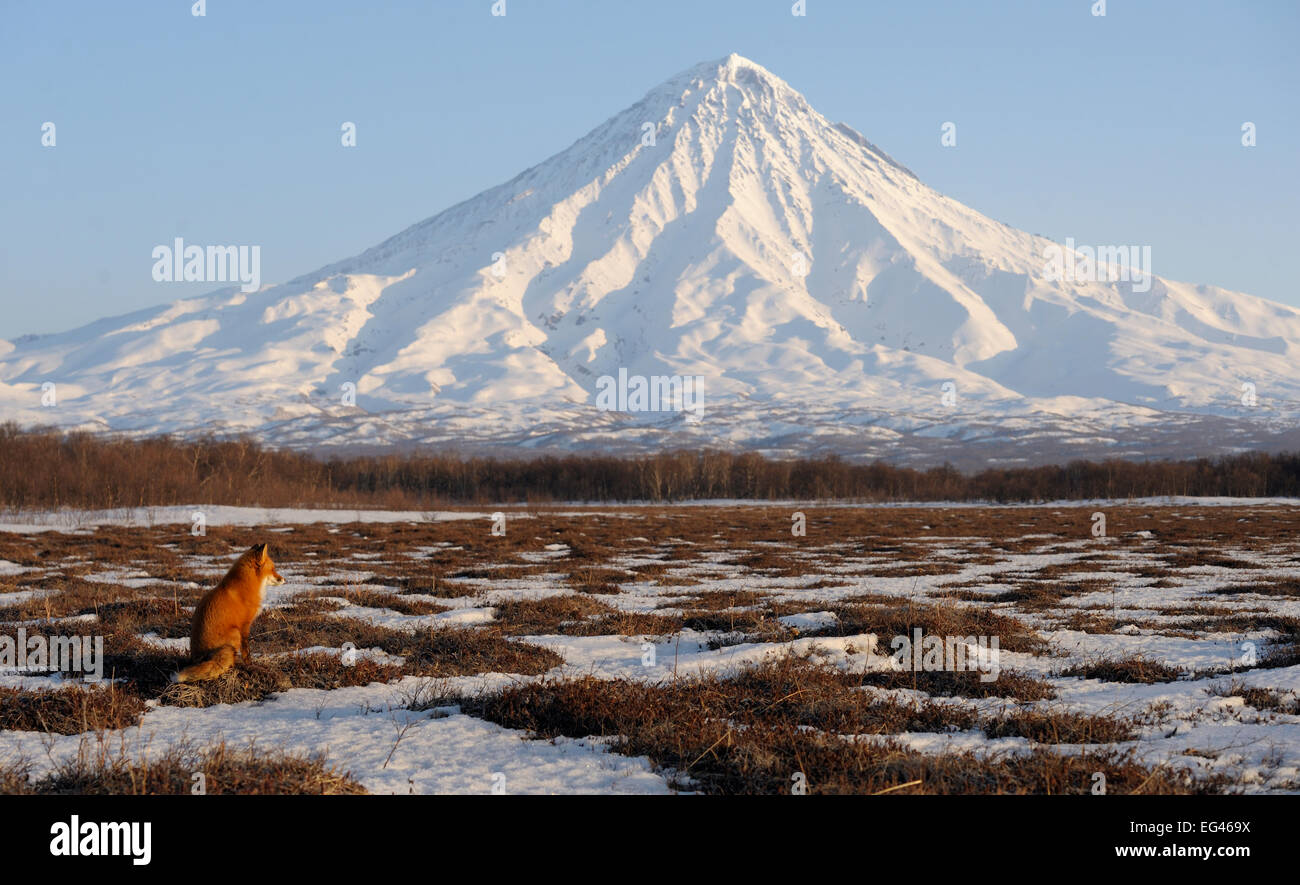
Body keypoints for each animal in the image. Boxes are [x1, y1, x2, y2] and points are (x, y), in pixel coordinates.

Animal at [174, 543, 285, 683]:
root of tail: (199, 658)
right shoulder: (244, 626)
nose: (284, 579)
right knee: (231, 659)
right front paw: (250, 664)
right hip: (235, 633)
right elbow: (246, 651)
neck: (246, 586)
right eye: (273, 569)